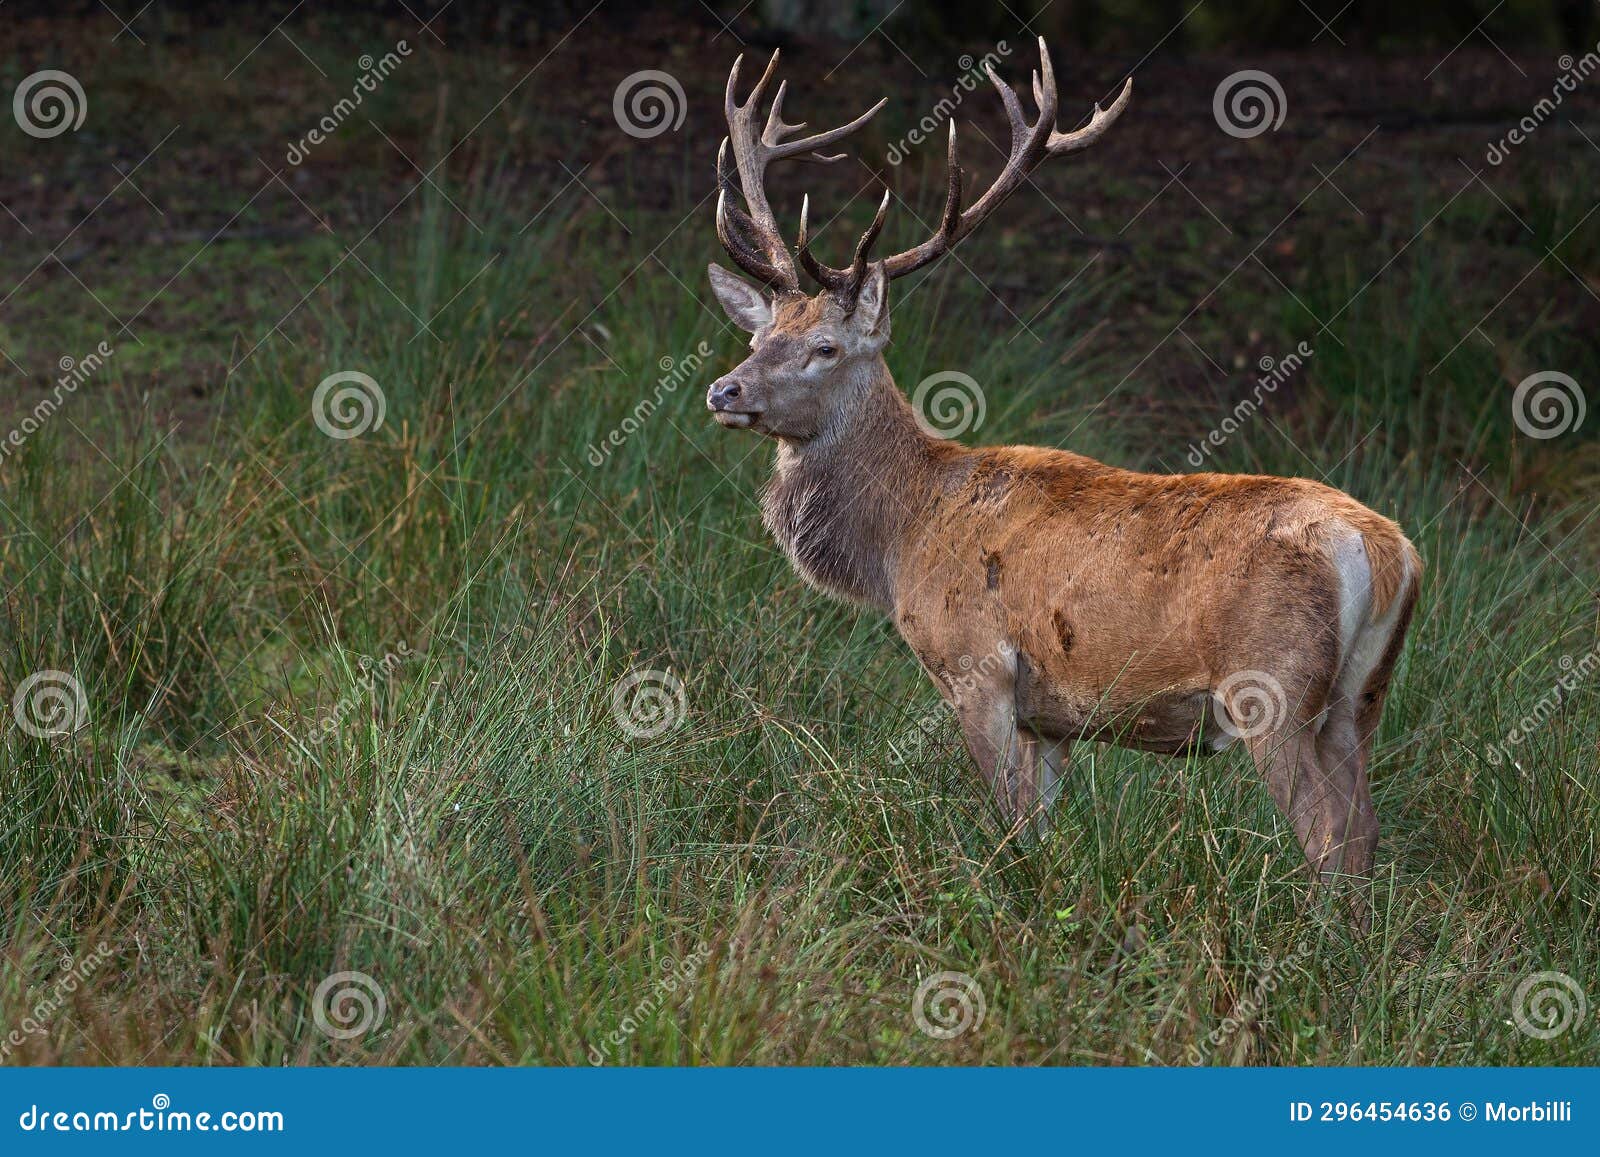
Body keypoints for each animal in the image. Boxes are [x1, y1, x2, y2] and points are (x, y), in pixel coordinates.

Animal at [702, 38, 1422, 910]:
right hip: (1360, 698)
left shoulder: (977, 665)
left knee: (1327, 836)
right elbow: (1039, 833)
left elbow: (1007, 828)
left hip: (1273, 687)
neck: (904, 536)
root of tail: (1389, 554)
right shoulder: (1048, 715)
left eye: (825, 347)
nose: (724, 390)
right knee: (1367, 831)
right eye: (758, 336)